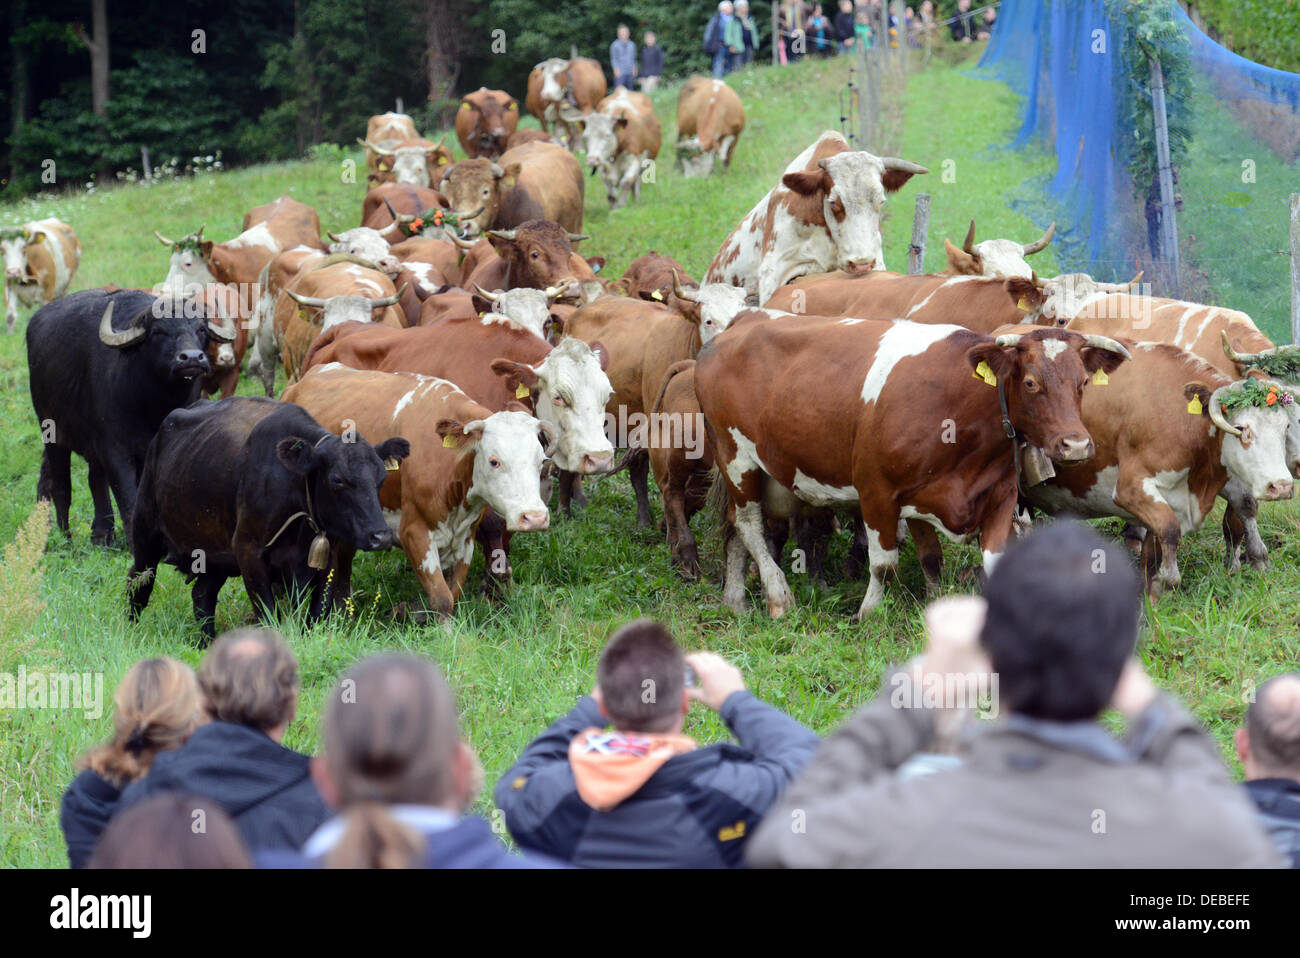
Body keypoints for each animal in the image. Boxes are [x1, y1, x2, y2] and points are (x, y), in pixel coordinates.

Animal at [27, 288, 237, 544]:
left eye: (201, 329)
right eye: (158, 331)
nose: (192, 358)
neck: (152, 407)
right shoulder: (116, 451)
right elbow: (129, 501)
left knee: (92, 480)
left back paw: (102, 535)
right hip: (52, 432)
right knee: (60, 485)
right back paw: (64, 537)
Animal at [127, 396, 409, 639]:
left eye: (381, 478)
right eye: (337, 480)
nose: (381, 536)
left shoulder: (327, 560)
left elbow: (315, 616)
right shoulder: (248, 551)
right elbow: (268, 615)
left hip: (216, 554)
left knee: (202, 596)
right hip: (145, 532)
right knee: (138, 584)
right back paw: (132, 631)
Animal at [283, 365, 553, 620]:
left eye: (541, 460)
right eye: (494, 461)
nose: (534, 517)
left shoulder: (466, 539)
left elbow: (453, 592)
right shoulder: (414, 533)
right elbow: (442, 598)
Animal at [694, 314, 1130, 618]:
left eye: (1083, 383)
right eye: (1031, 383)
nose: (1076, 444)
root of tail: (739, 325)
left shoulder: (995, 495)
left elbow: (953, 558)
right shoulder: (876, 492)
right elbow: (884, 564)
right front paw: (869, 614)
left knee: (734, 528)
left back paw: (735, 599)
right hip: (737, 458)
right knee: (749, 525)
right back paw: (778, 595)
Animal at [1022, 340, 1294, 598]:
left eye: (1286, 427)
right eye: (1240, 428)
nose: (1282, 486)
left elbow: (1153, 553)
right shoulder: (1130, 489)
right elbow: (1170, 530)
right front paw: (1166, 582)